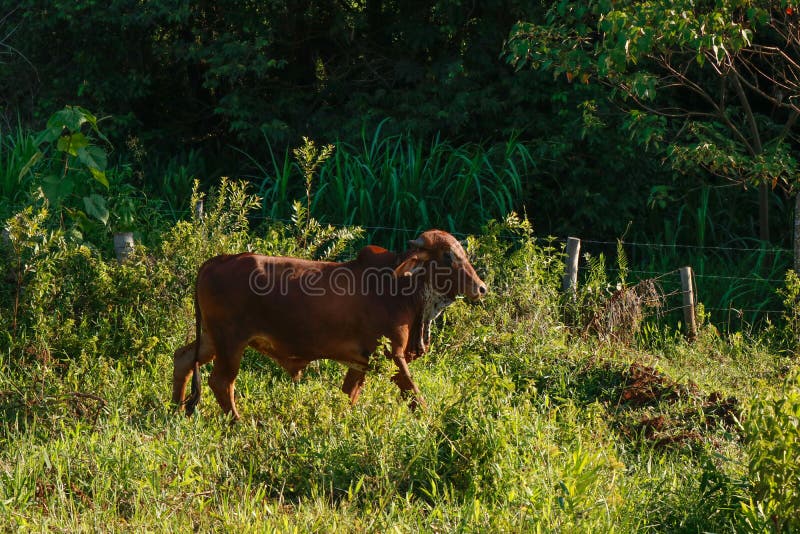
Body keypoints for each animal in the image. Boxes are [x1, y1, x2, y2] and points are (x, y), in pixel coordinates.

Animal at [172, 229, 487, 420]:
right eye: (448, 256)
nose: (481, 288)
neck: (402, 289)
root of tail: (216, 261)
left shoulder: (361, 362)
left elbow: (349, 396)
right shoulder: (392, 356)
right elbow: (416, 398)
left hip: (212, 338)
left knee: (183, 358)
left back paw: (176, 410)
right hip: (230, 341)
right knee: (221, 382)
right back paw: (237, 422)